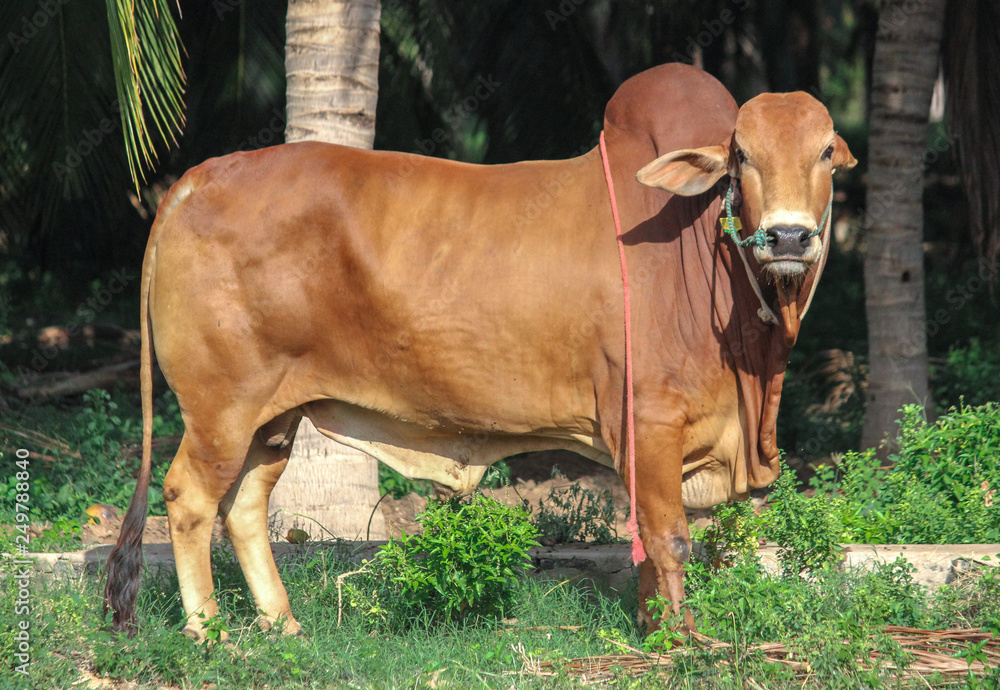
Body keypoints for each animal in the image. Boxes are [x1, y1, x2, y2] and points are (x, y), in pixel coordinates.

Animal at [104, 63, 855, 640]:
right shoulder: (650, 422)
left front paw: (653, 630)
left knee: (245, 506)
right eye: (742, 157)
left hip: (274, 416)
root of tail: (194, 180)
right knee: (189, 499)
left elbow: (659, 545)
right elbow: (669, 538)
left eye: (826, 152)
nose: (790, 237)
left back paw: (282, 626)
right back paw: (209, 634)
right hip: (221, 408)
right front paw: (681, 642)